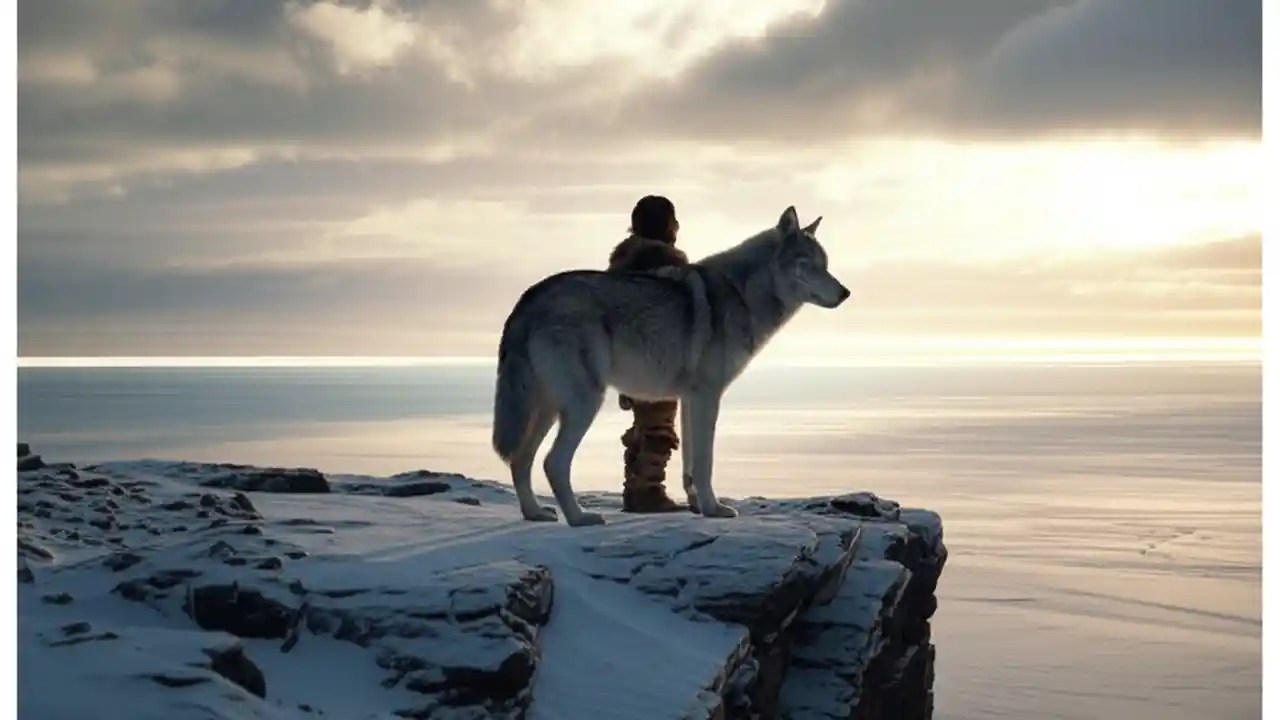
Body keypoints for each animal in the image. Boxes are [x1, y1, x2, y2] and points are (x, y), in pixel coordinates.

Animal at [492, 206, 849, 526]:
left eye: (826, 265)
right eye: (809, 265)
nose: (846, 292)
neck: (742, 295)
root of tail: (528, 297)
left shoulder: (690, 399)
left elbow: (690, 464)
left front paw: (699, 507)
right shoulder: (707, 396)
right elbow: (705, 461)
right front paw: (715, 509)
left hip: (547, 409)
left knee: (520, 459)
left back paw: (535, 513)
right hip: (583, 404)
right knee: (553, 462)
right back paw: (580, 518)